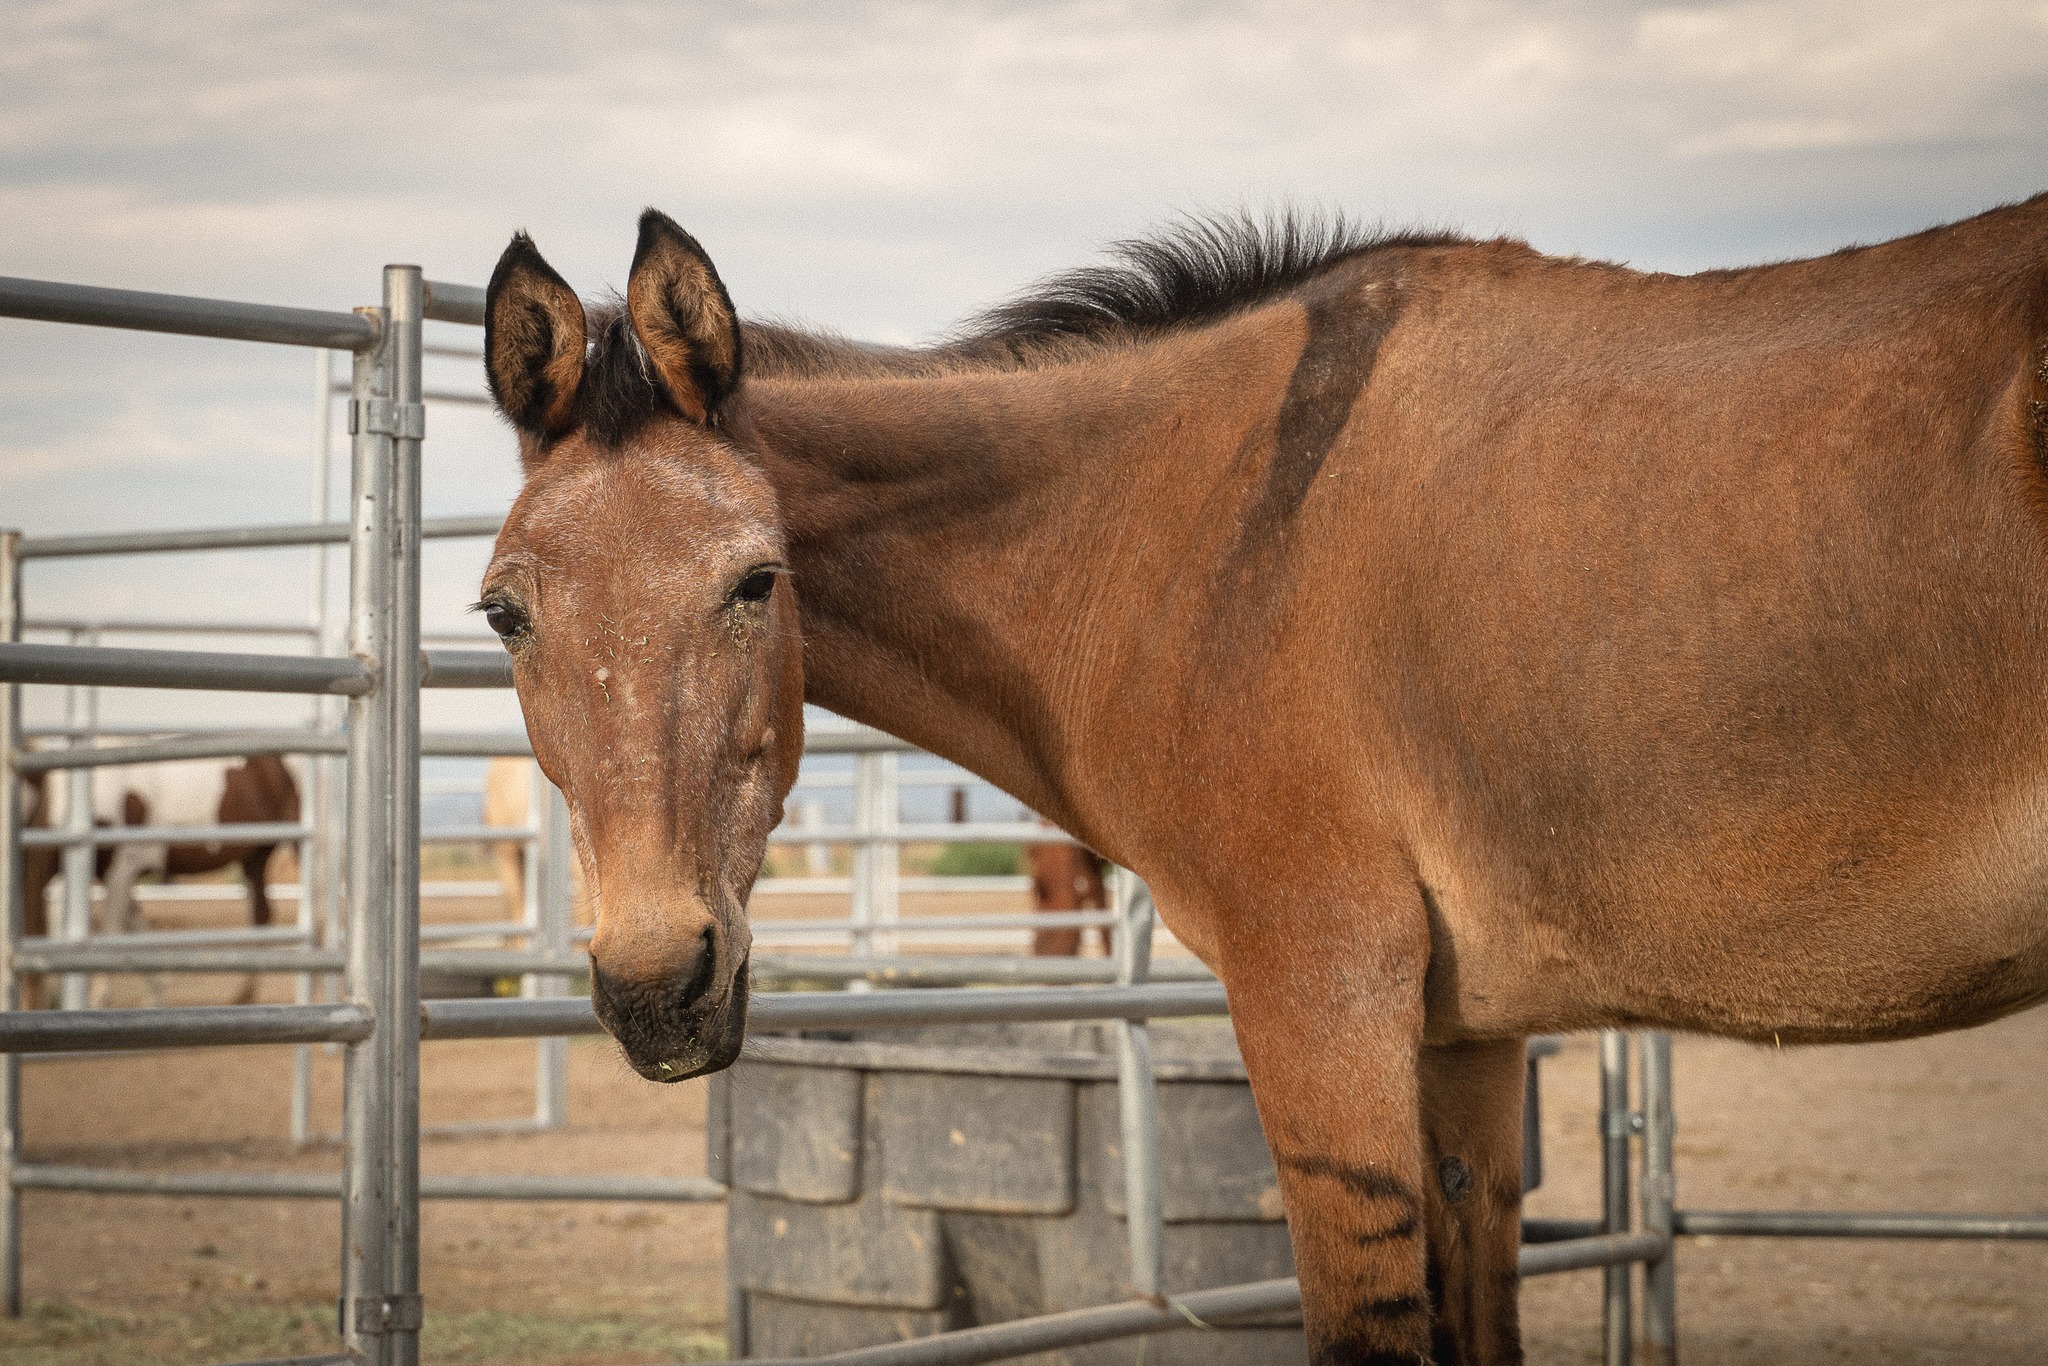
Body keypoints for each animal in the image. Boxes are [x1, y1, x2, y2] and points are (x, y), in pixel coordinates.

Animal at [22, 755, 301, 1006]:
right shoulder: (114, 874)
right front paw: (155, 996)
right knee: (262, 914)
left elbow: (112, 932)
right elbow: (136, 927)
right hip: (255, 856)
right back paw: (244, 995)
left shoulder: (120, 869)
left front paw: (97, 998)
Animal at [474, 198, 2048, 1364]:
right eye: (503, 614)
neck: (1201, 523)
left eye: (756, 580)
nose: (655, 984)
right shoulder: (1461, 1040)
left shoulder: (1318, 995)